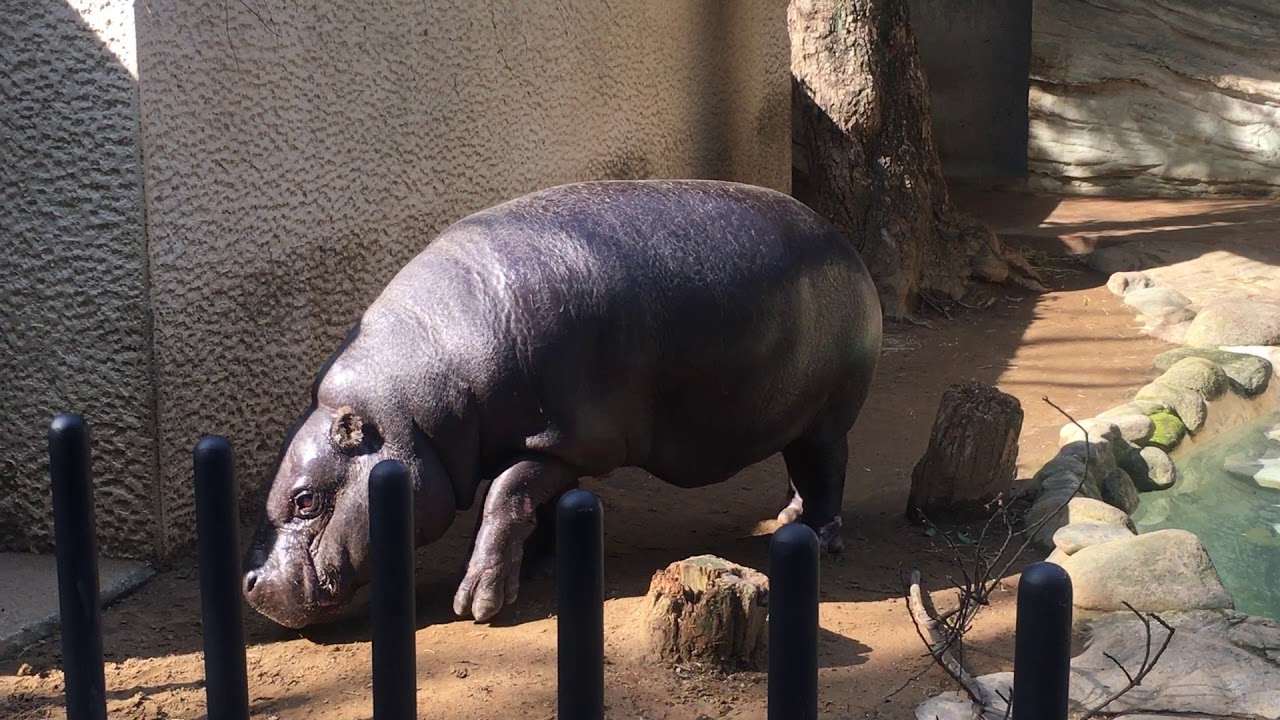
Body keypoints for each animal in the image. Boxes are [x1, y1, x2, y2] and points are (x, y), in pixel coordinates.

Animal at [241, 179, 882, 629]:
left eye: (304, 500)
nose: (249, 580)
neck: (415, 413)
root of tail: (846, 247)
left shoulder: (565, 440)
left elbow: (503, 499)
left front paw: (477, 603)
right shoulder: (547, 446)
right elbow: (532, 503)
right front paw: (537, 565)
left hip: (830, 415)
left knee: (830, 469)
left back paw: (820, 537)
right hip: (796, 415)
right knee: (800, 467)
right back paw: (788, 517)